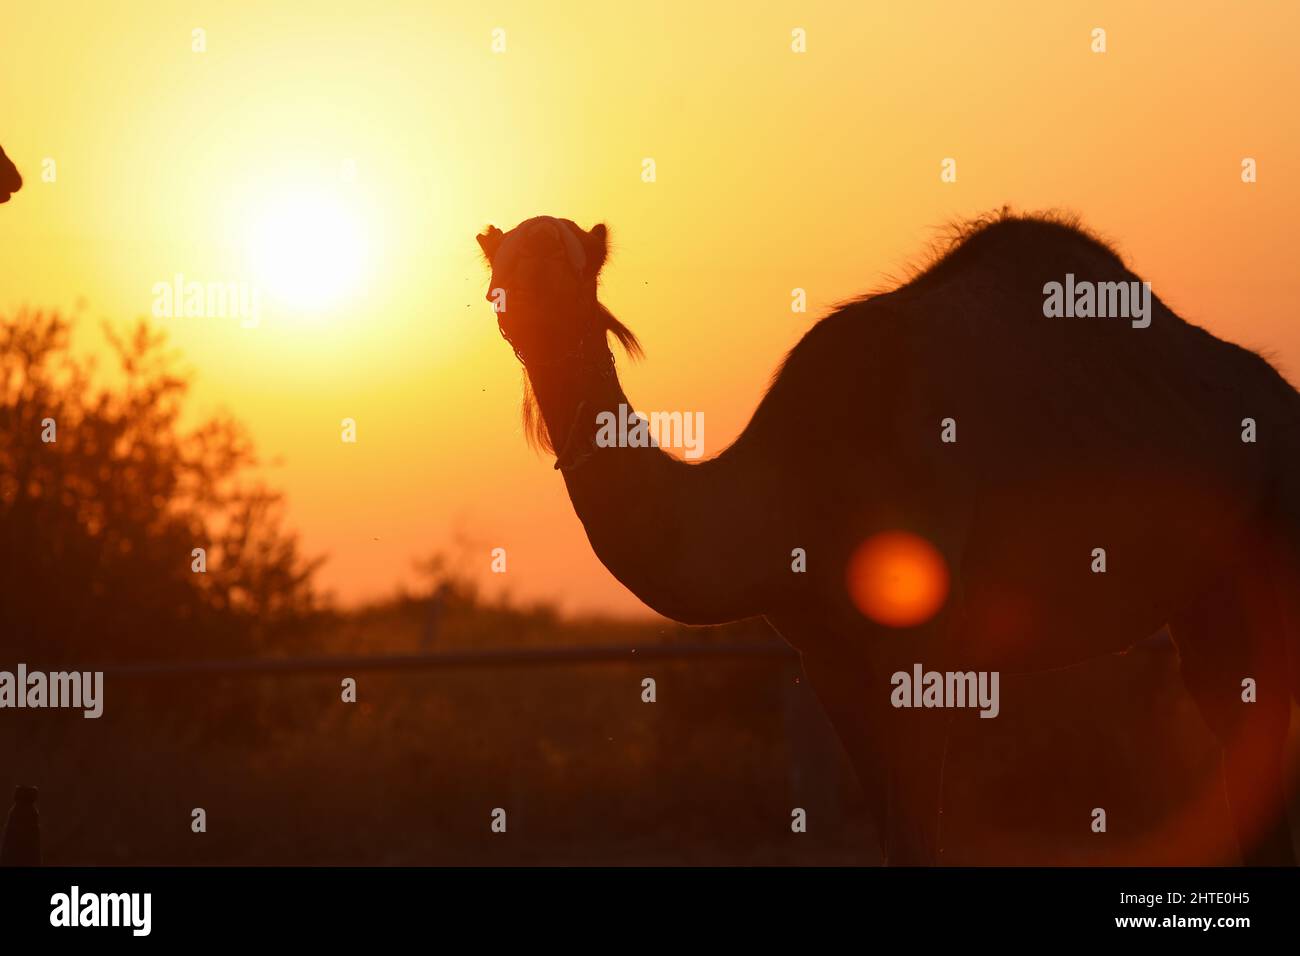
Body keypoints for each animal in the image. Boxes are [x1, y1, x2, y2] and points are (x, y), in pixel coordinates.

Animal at [477, 212, 1300, 865]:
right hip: (1208, 596)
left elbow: (918, 837)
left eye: (578, 276)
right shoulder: (829, 659)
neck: (791, 483)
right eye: (501, 282)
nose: (535, 315)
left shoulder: (921, 643)